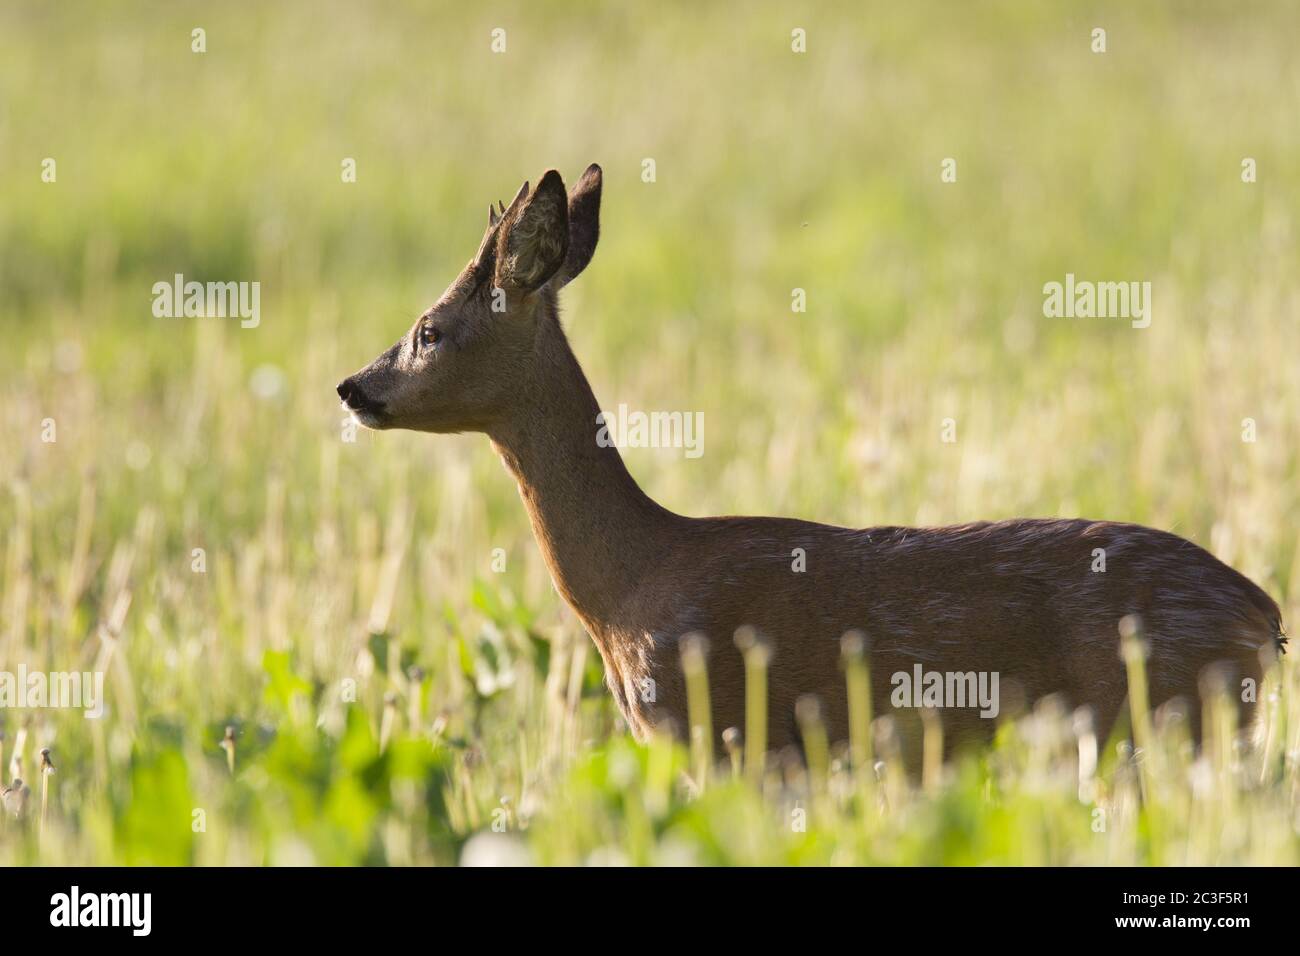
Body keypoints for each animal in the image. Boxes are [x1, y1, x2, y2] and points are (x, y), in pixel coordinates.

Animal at [337, 164, 1286, 762]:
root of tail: (1265, 616)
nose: (352, 386)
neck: (629, 590)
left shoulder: (726, 734)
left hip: (1168, 717)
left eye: (429, 330)